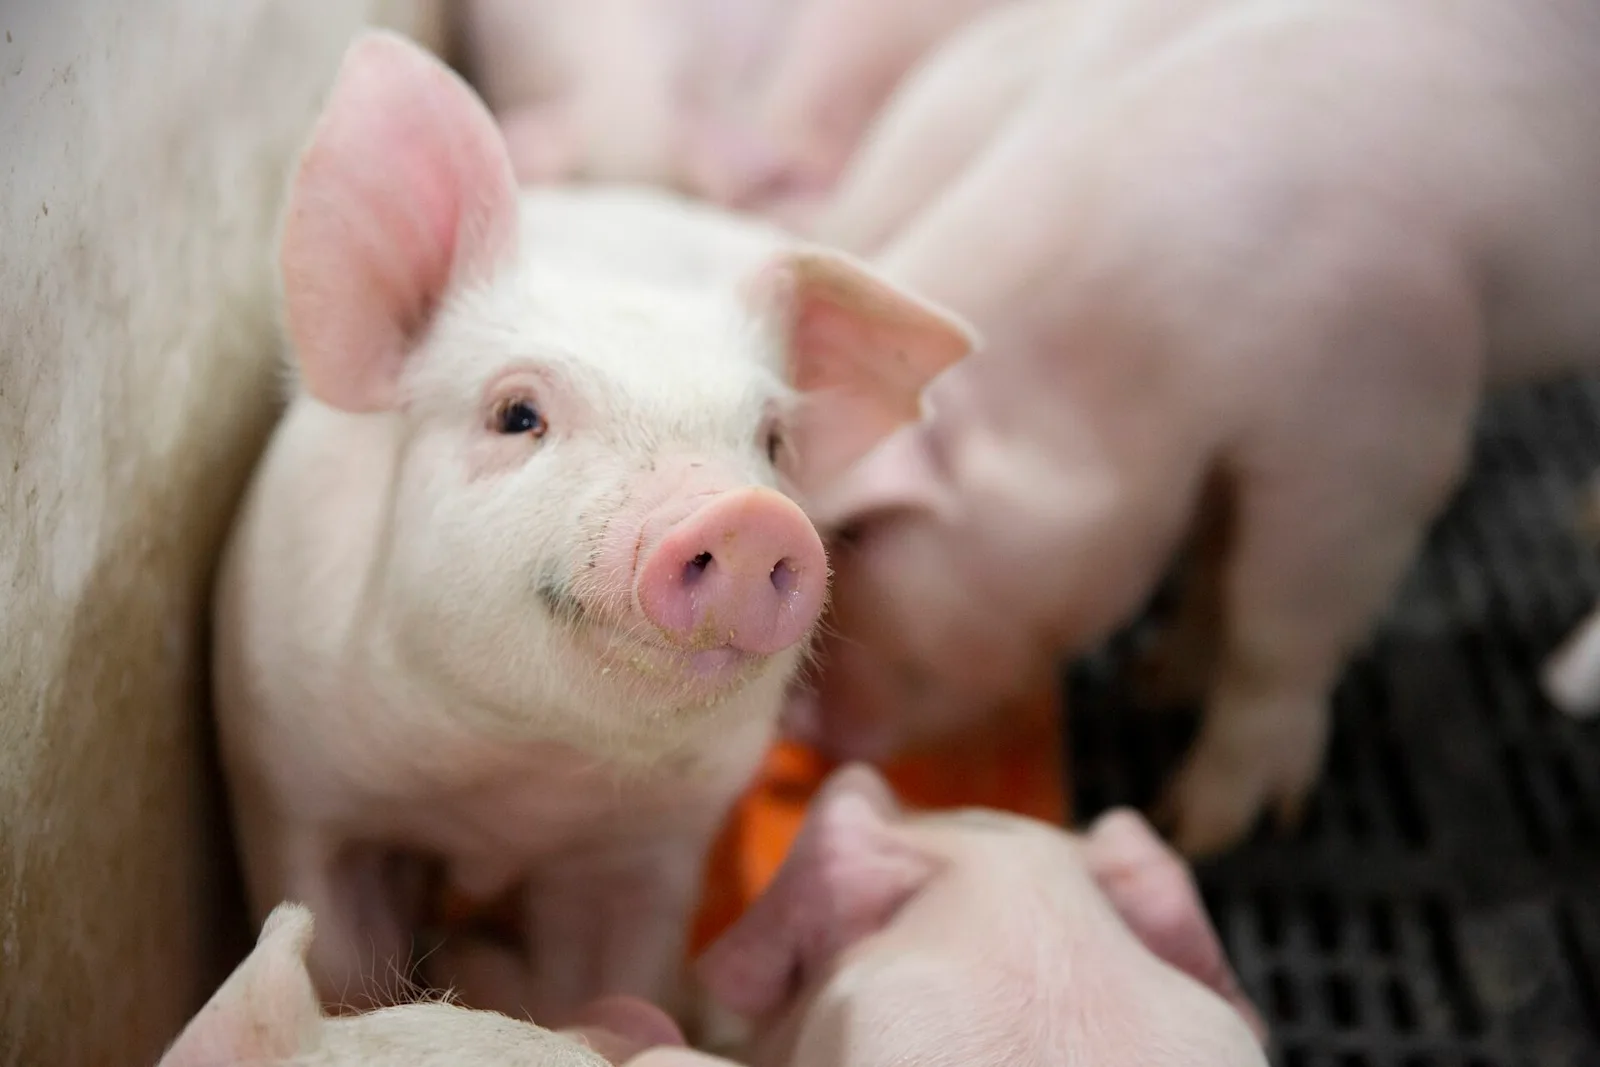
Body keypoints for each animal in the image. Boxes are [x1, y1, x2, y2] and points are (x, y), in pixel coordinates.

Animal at [210, 28, 977, 1032]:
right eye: (516, 414)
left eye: (773, 442)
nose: (747, 516)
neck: (518, 778)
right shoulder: (288, 780)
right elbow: (329, 947)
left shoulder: (648, 847)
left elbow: (615, 975)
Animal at [791, 0, 1600, 857]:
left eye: (861, 532)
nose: (804, 732)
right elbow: (1216, 559)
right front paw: (1156, 680)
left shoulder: (1373, 422)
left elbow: (1277, 621)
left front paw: (1196, 829)